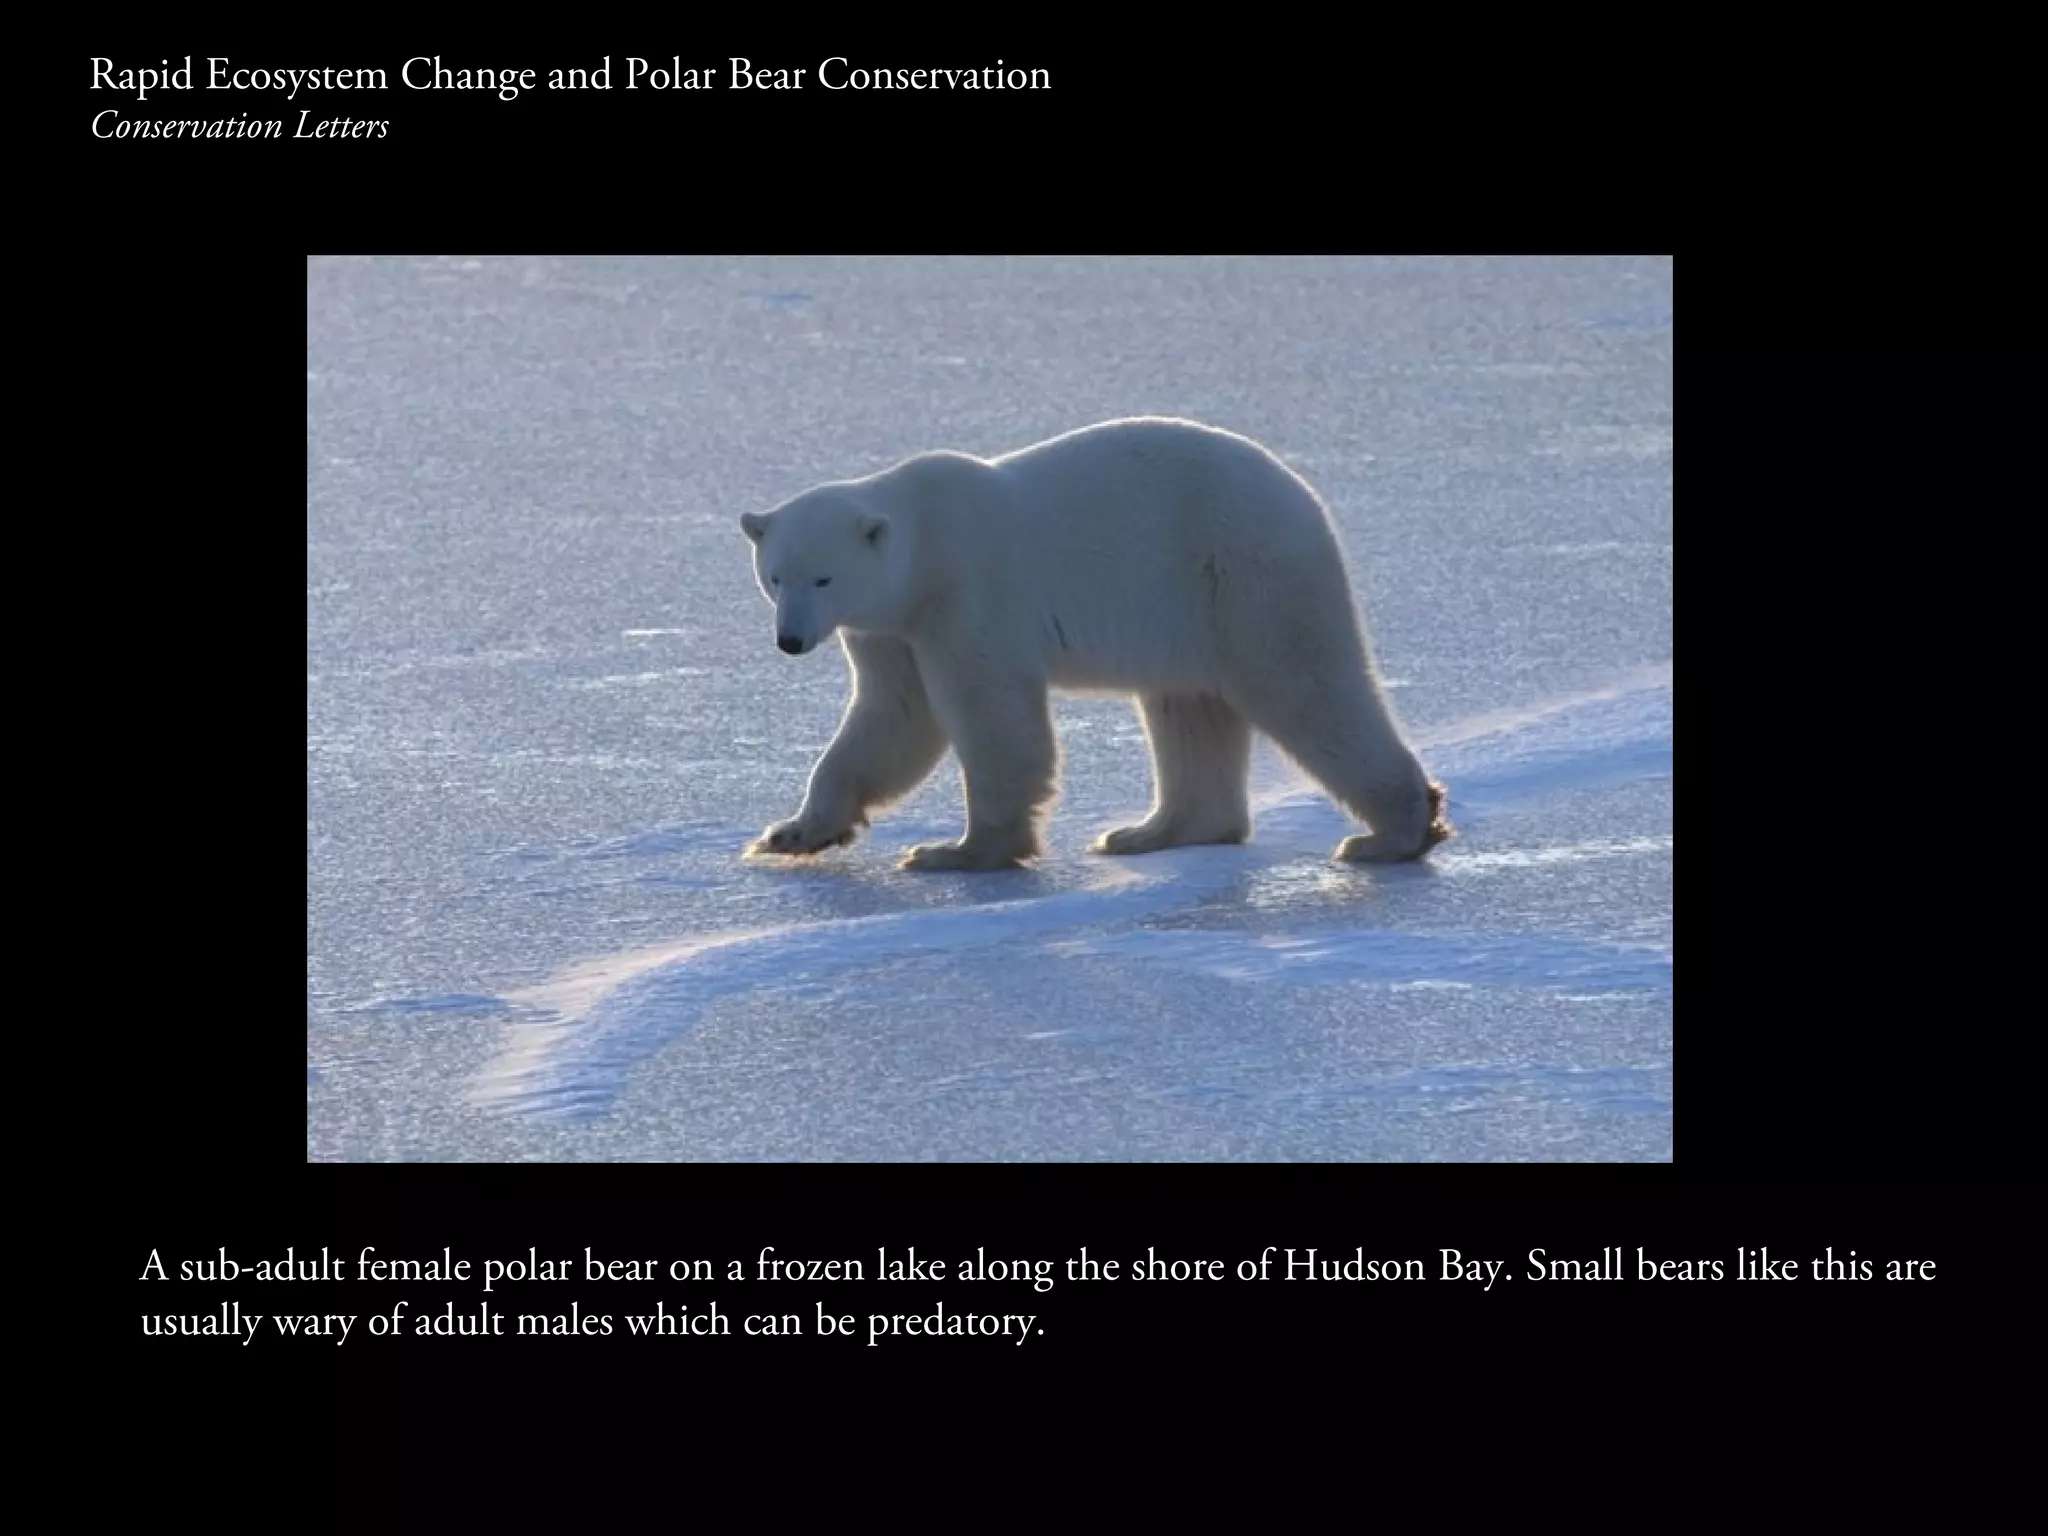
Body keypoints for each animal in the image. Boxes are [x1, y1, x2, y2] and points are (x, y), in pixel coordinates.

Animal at [737, 417, 1452, 872]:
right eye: (776, 576)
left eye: (824, 577)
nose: (791, 640)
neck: (922, 551)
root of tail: (1306, 499)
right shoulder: (890, 629)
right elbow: (894, 720)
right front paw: (790, 833)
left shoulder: (967, 598)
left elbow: (992, 717)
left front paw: (961, 852)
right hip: (1187, 614)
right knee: (1189, 709)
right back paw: (1149, 832)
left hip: (1240, 573)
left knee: (1305, 687)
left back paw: (1393, 833)